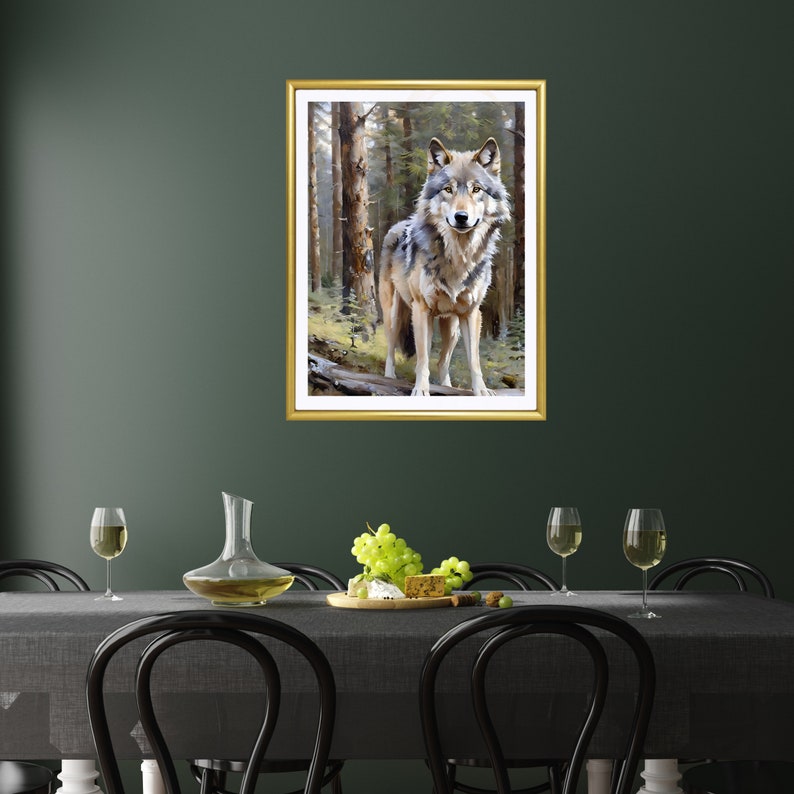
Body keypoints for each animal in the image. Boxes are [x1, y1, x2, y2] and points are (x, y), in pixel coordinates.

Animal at [378, 137, 510, 396]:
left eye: (476, 189)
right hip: (394, 314)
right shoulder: (421, 310)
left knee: (442, 361)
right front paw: (420, 390)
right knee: (391, 348)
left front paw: (481, 391)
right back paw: (389, 377)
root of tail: (398, 224)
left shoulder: (472, 313)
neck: (458, 257)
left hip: (452, 326)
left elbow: (474, 360)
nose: (461, 217)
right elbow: (422, 359)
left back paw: (447, 386)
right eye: (448, 189)